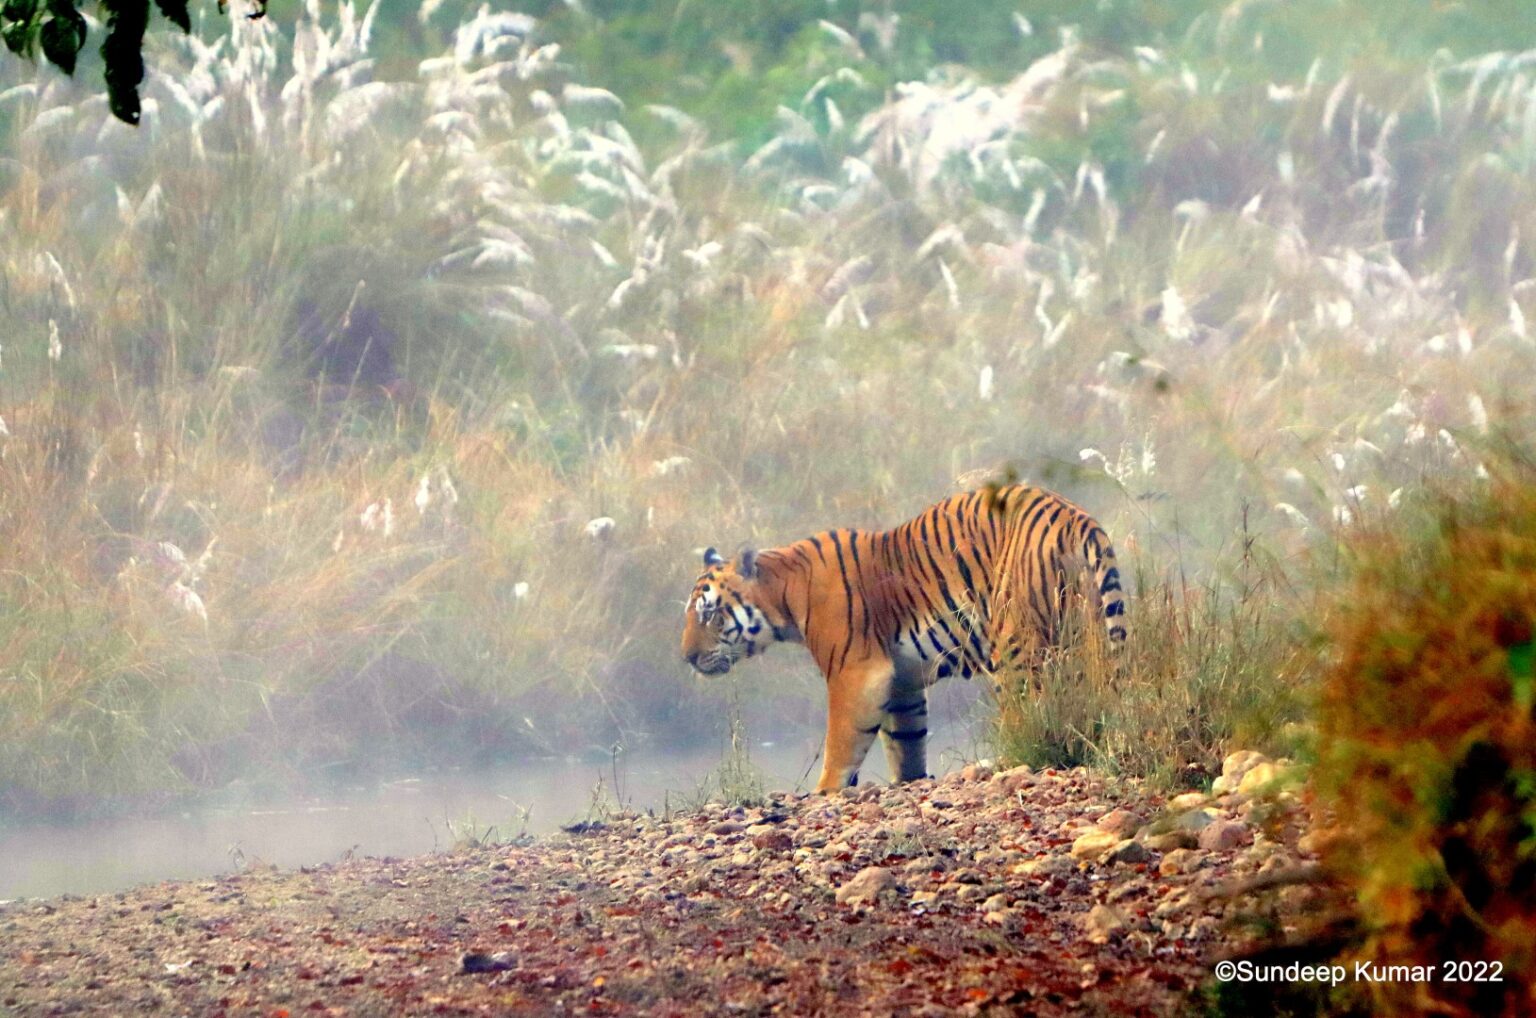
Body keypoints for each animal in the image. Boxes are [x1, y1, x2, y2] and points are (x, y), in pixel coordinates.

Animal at [680, 484, 1127, 793]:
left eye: (709, 613)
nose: (686, 658)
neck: (784, 592)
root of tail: (1077, 518)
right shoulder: (902, 681)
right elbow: (905, 740)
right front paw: (909, 781)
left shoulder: (857, 672)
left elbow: (841, 741)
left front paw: (825, 790)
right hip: (1084, 633)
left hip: (1018, 645)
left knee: (1030, 708)